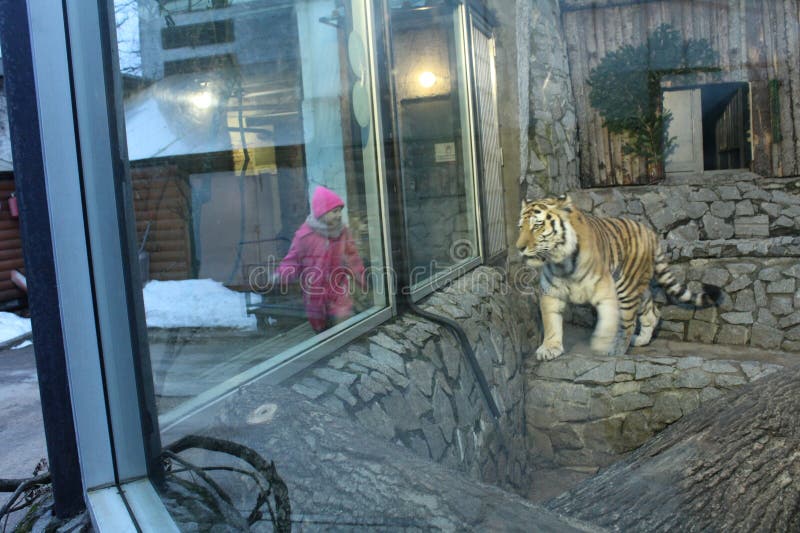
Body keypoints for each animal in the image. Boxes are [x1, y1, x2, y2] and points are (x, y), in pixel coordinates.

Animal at [516, 195, 723, 360]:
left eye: (537, 225)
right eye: (520, 227)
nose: (519, 247)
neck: (561, 262)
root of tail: (649, 231)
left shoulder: (605, 290)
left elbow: (608, 321)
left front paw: (602, 344)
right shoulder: (551, 292)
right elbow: (550, 322)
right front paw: (549, 349)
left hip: (626, 287)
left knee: (628, 322)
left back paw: (618, 349)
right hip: (638, 287)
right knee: (653, 312)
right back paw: (641, 340)